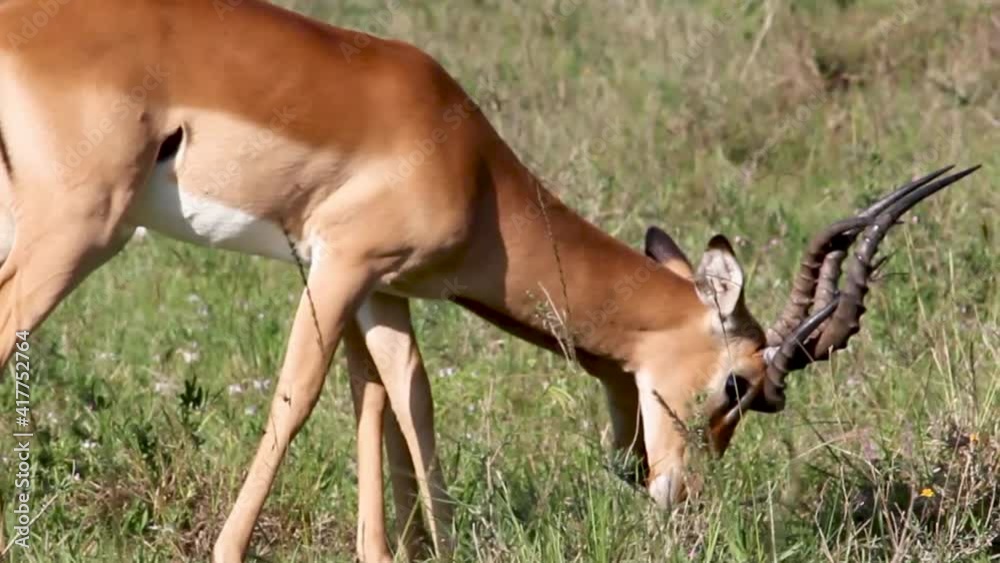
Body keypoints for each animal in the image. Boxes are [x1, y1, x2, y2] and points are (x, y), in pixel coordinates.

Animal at [0, 0, 978, 561]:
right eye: (741, 383)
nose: (679, 495)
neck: (465, 158)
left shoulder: (375, 288)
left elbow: (394, 400)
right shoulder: (342, 266)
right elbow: (299, 400)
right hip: (80, 226)